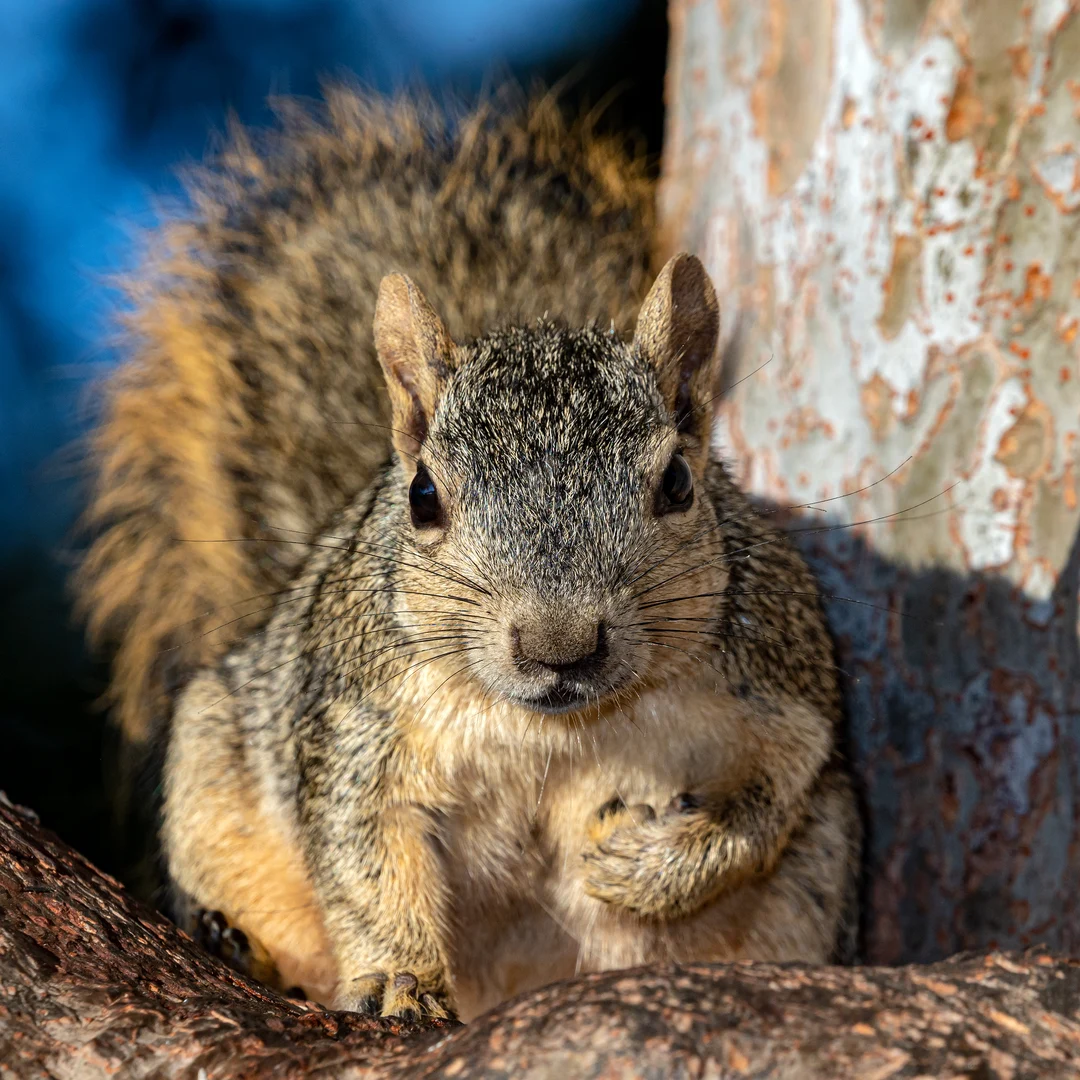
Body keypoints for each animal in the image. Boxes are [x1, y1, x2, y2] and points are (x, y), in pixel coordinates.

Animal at [77, 85, 861, 1022]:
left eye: (678, 482)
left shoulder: (781, 676)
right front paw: (400, 980)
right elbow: (365, 858)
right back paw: (240, 948)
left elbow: (770, 800)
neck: (551, 730)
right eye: (422, 497)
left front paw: (640, 865)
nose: (561, 646)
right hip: (214, 772)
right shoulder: (355, 722)